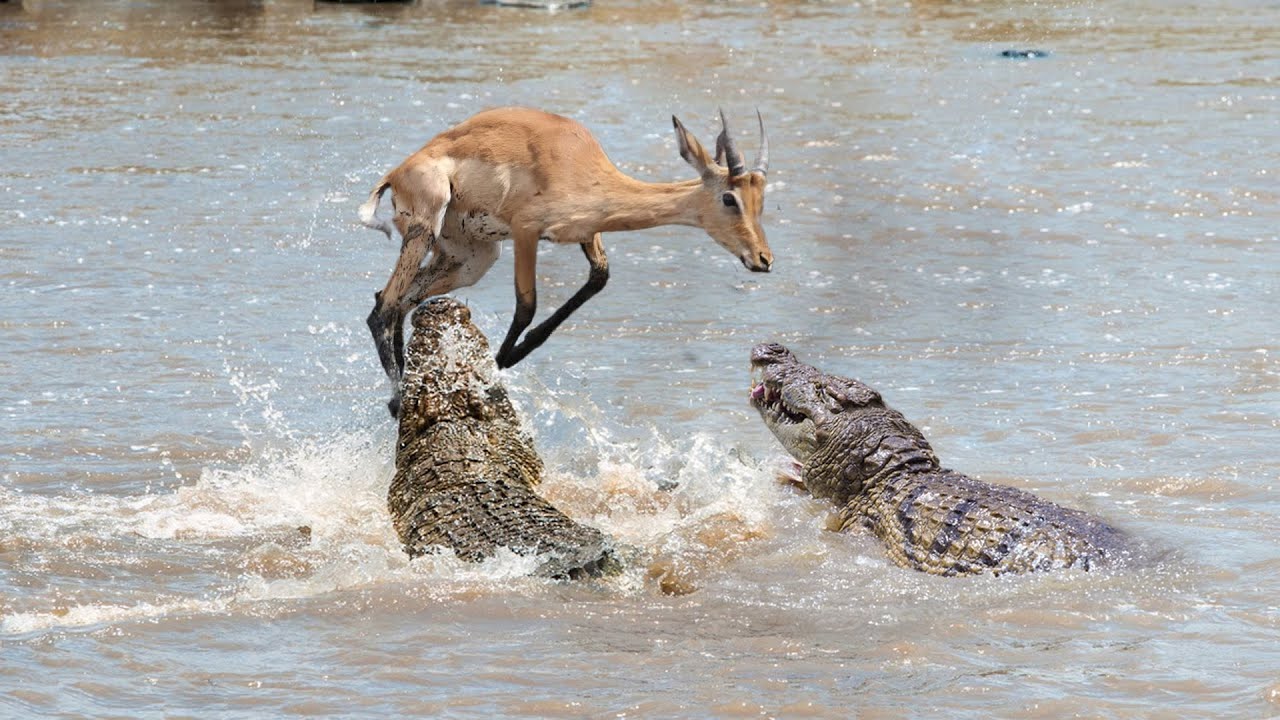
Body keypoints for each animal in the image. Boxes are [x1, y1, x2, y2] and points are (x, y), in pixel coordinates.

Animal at [359, 106, 771, 416]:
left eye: (760, 199)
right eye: (729, 198)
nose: (763, 259)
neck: (576, 164)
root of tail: (396, 173)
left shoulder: (587, 232)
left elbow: (599, 277)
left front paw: (506, 360)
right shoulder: (526, 232)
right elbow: (526, 306)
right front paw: (495, 370)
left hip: (473, 257)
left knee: (398, 301)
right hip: (427, 230)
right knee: (385, 306)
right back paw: (398, 400)